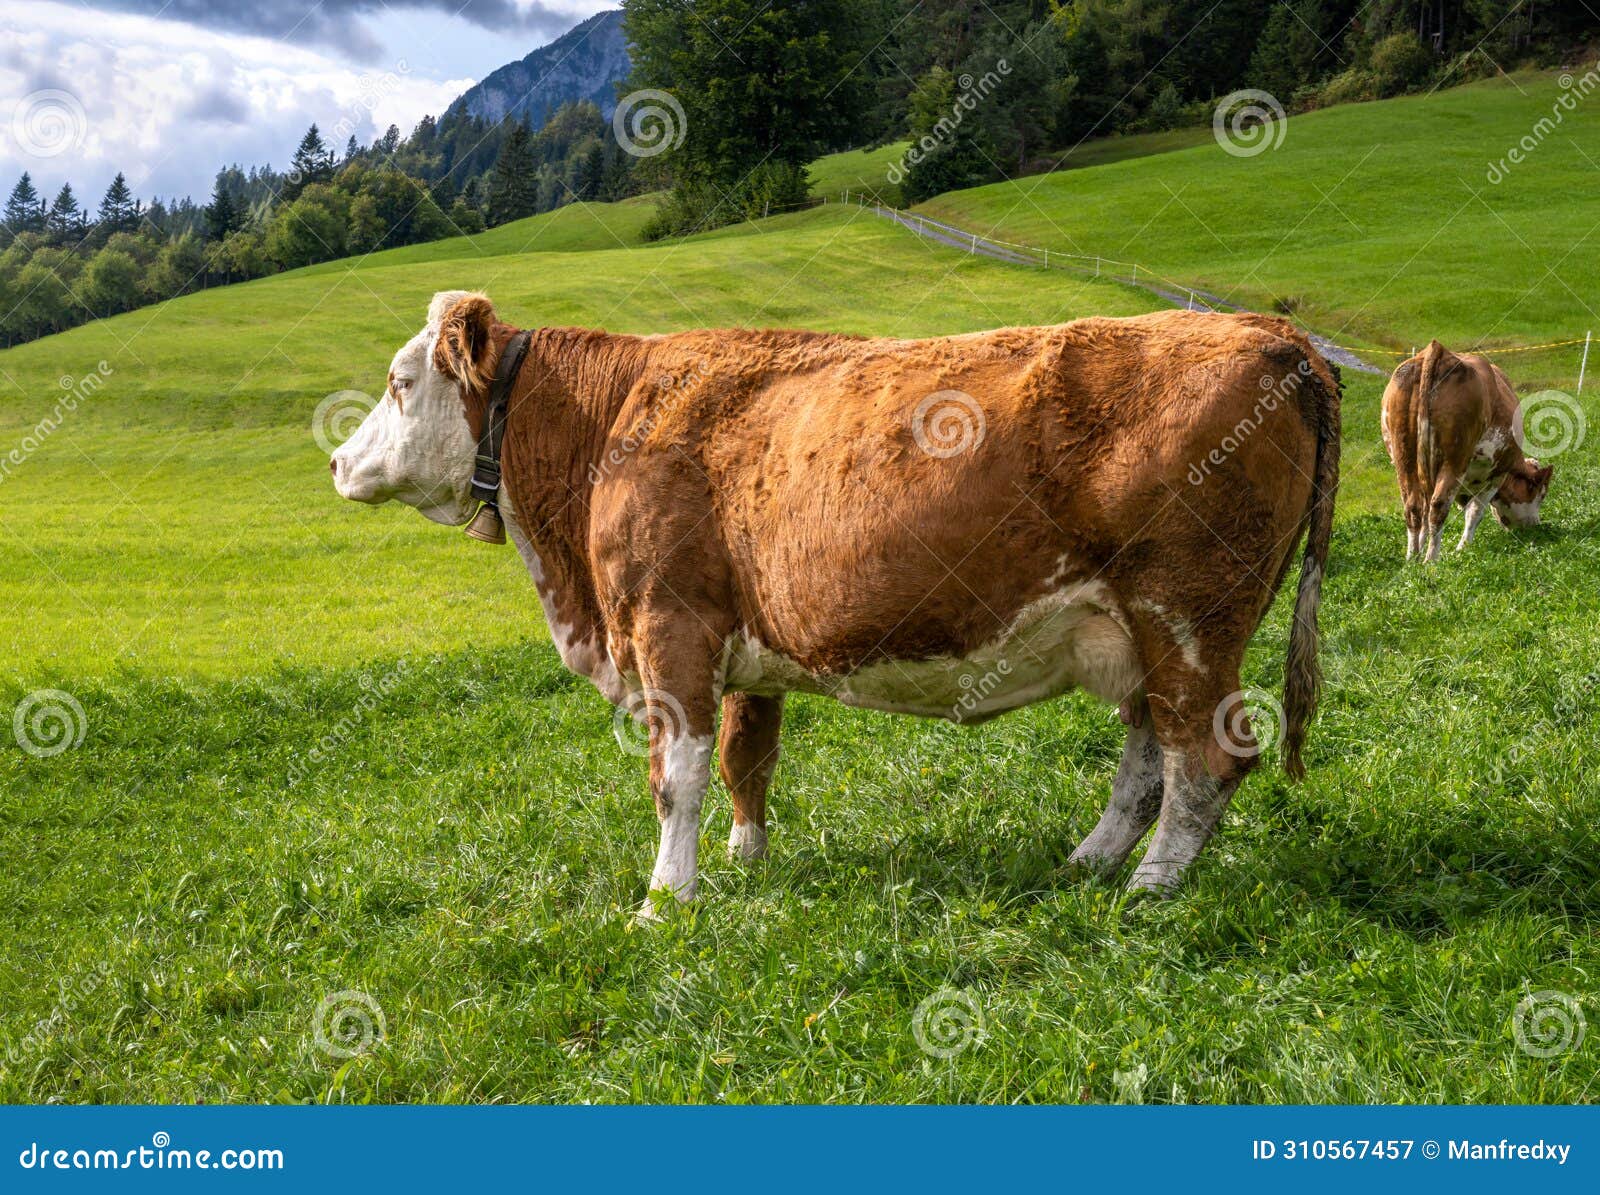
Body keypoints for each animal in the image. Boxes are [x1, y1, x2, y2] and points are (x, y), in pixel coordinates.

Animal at [331, 293, 1341, 915]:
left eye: (399, 382)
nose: (337, 460)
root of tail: (1271, 334)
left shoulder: (667, 628)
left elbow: (676, 777)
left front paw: (664, 900)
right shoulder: (740, 645)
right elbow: (745, 760)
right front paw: (744, 862)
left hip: (1189, 617)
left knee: (1206, 757)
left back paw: (1152, 887)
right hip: (1137, 633)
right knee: (1147, 759)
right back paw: (1087, 862)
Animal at [1381, 340, 1553, 562]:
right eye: (1542, 495)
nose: (1536, 526)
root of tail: (1437, 350)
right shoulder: (1496, 475)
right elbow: (1475, 513)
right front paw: (1463, 548)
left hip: (1404, 459)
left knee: (1414, 507)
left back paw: (1412, 559)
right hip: (1455, 460)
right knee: (1438, 506)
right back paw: (1431, 560)